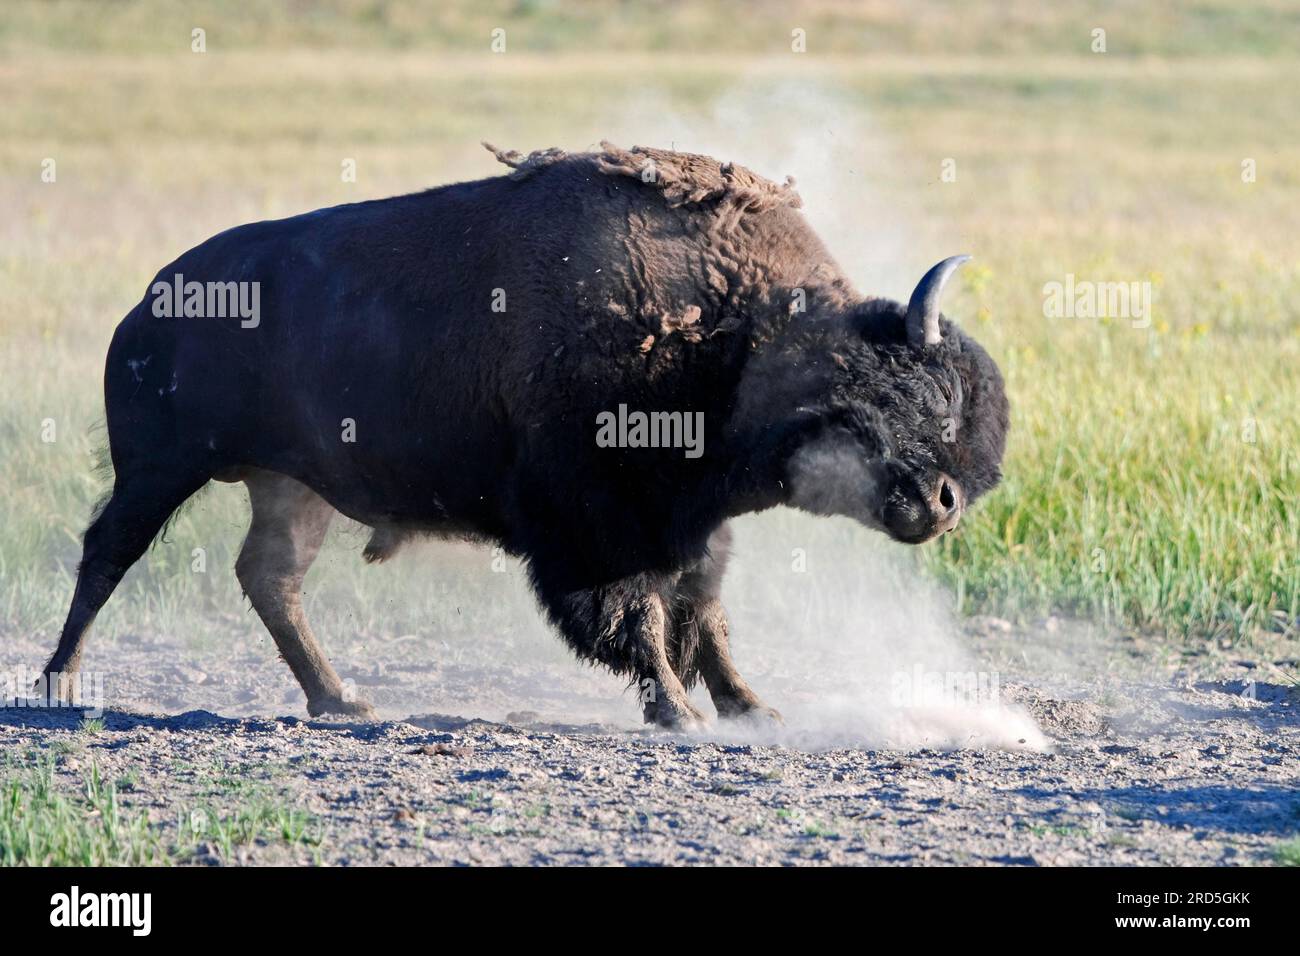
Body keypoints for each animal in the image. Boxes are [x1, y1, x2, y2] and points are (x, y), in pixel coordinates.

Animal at [44, 142, 1009, 729]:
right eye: (921, 392)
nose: (946, 502)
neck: (740, 333)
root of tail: (150, 300)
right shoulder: (600, 530)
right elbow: (643, 617)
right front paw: (683, 713)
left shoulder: (691, 527)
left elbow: (705, 614)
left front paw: (752, 710)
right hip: (159, 469)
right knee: (107, 554)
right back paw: (60, 683)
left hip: (295, 488)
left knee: (269, 578)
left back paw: (341, 701)